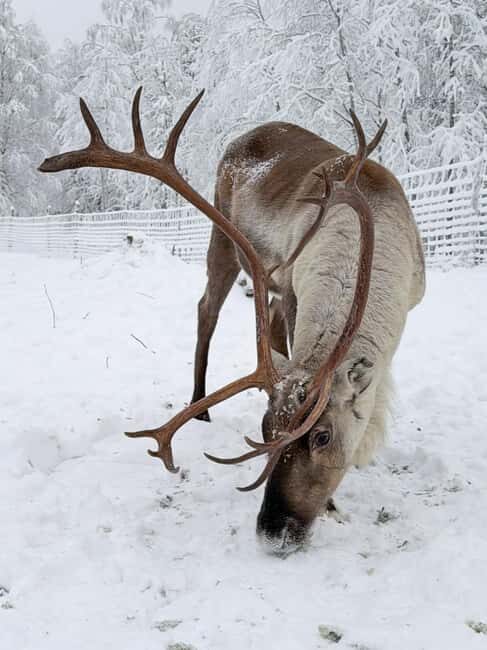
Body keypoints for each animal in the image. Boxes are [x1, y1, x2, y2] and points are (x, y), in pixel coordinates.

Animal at [39, 88, 425, 555]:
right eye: (265, 429)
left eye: (322, 436)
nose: (272, 532)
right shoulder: (294, 289)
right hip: (223, 240)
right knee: (207, 308)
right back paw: (199, 403)